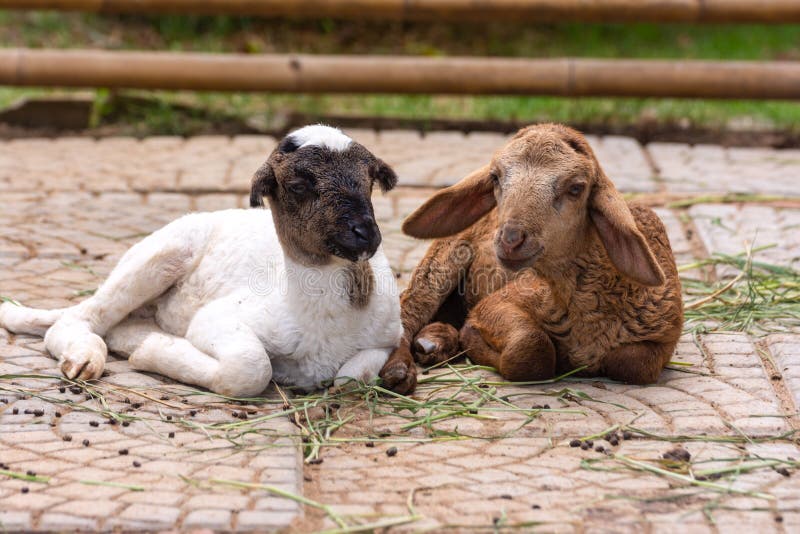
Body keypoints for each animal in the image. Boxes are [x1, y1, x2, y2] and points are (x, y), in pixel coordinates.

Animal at [0, 125, 403, 397]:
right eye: (298, 186)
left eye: (368, 181)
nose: (365, 233)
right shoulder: (217, 319)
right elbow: (250, 369)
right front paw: (153, 354)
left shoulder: (388, 338)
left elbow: (351, 378)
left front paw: (150, 348)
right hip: (158, 255)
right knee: (76, 318)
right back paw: (89, 357)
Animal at [379, 123, 683, 394]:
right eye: (496, 178)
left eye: (576, 188)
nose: (511, 239)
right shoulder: (499, 302)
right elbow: (532, 348)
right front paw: (472, 339)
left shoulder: (664, 335)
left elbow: (633, 363)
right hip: (442, 259)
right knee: (409, 310)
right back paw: (400, 370)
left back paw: (435, 340)